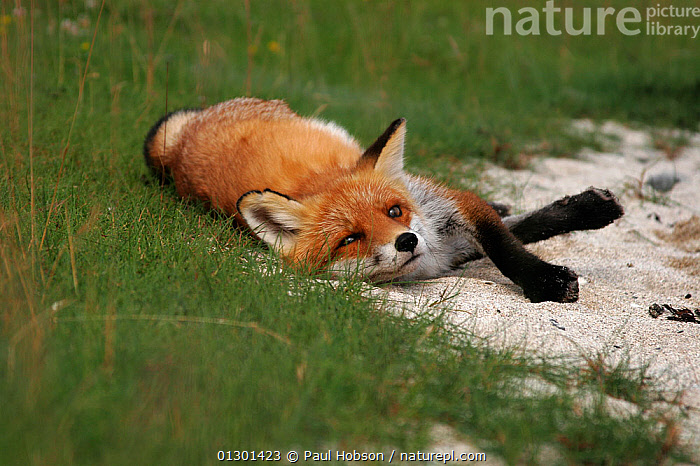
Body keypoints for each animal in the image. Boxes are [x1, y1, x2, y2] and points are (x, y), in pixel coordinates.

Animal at [143, 97, 624, 303]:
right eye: (349, 240)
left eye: (394, 211)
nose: (406, 241)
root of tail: (184, 137)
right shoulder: (448, 241)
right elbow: (513, 235)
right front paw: (548, 279)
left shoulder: (449, 209)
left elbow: (508, 243)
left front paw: (550, 269)